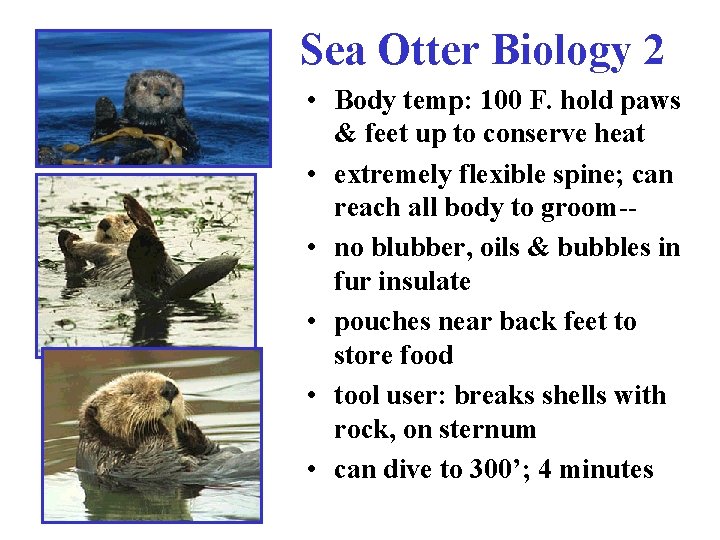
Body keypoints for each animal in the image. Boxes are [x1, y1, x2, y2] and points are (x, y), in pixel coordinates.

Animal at [58, 195, 238, 302]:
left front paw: (72, 240)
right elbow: (75, 271)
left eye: (125, 221)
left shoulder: (110, 250)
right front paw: (66, 236)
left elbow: (91, 248)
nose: (104, 222)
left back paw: (135, 211)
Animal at [77, 372, 259, 484]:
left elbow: (212, 449)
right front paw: (149, 426)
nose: (169, 388)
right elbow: (154, 461)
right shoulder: (112, 463)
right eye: (129, 392)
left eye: (169, 380)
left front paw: (184, 427)